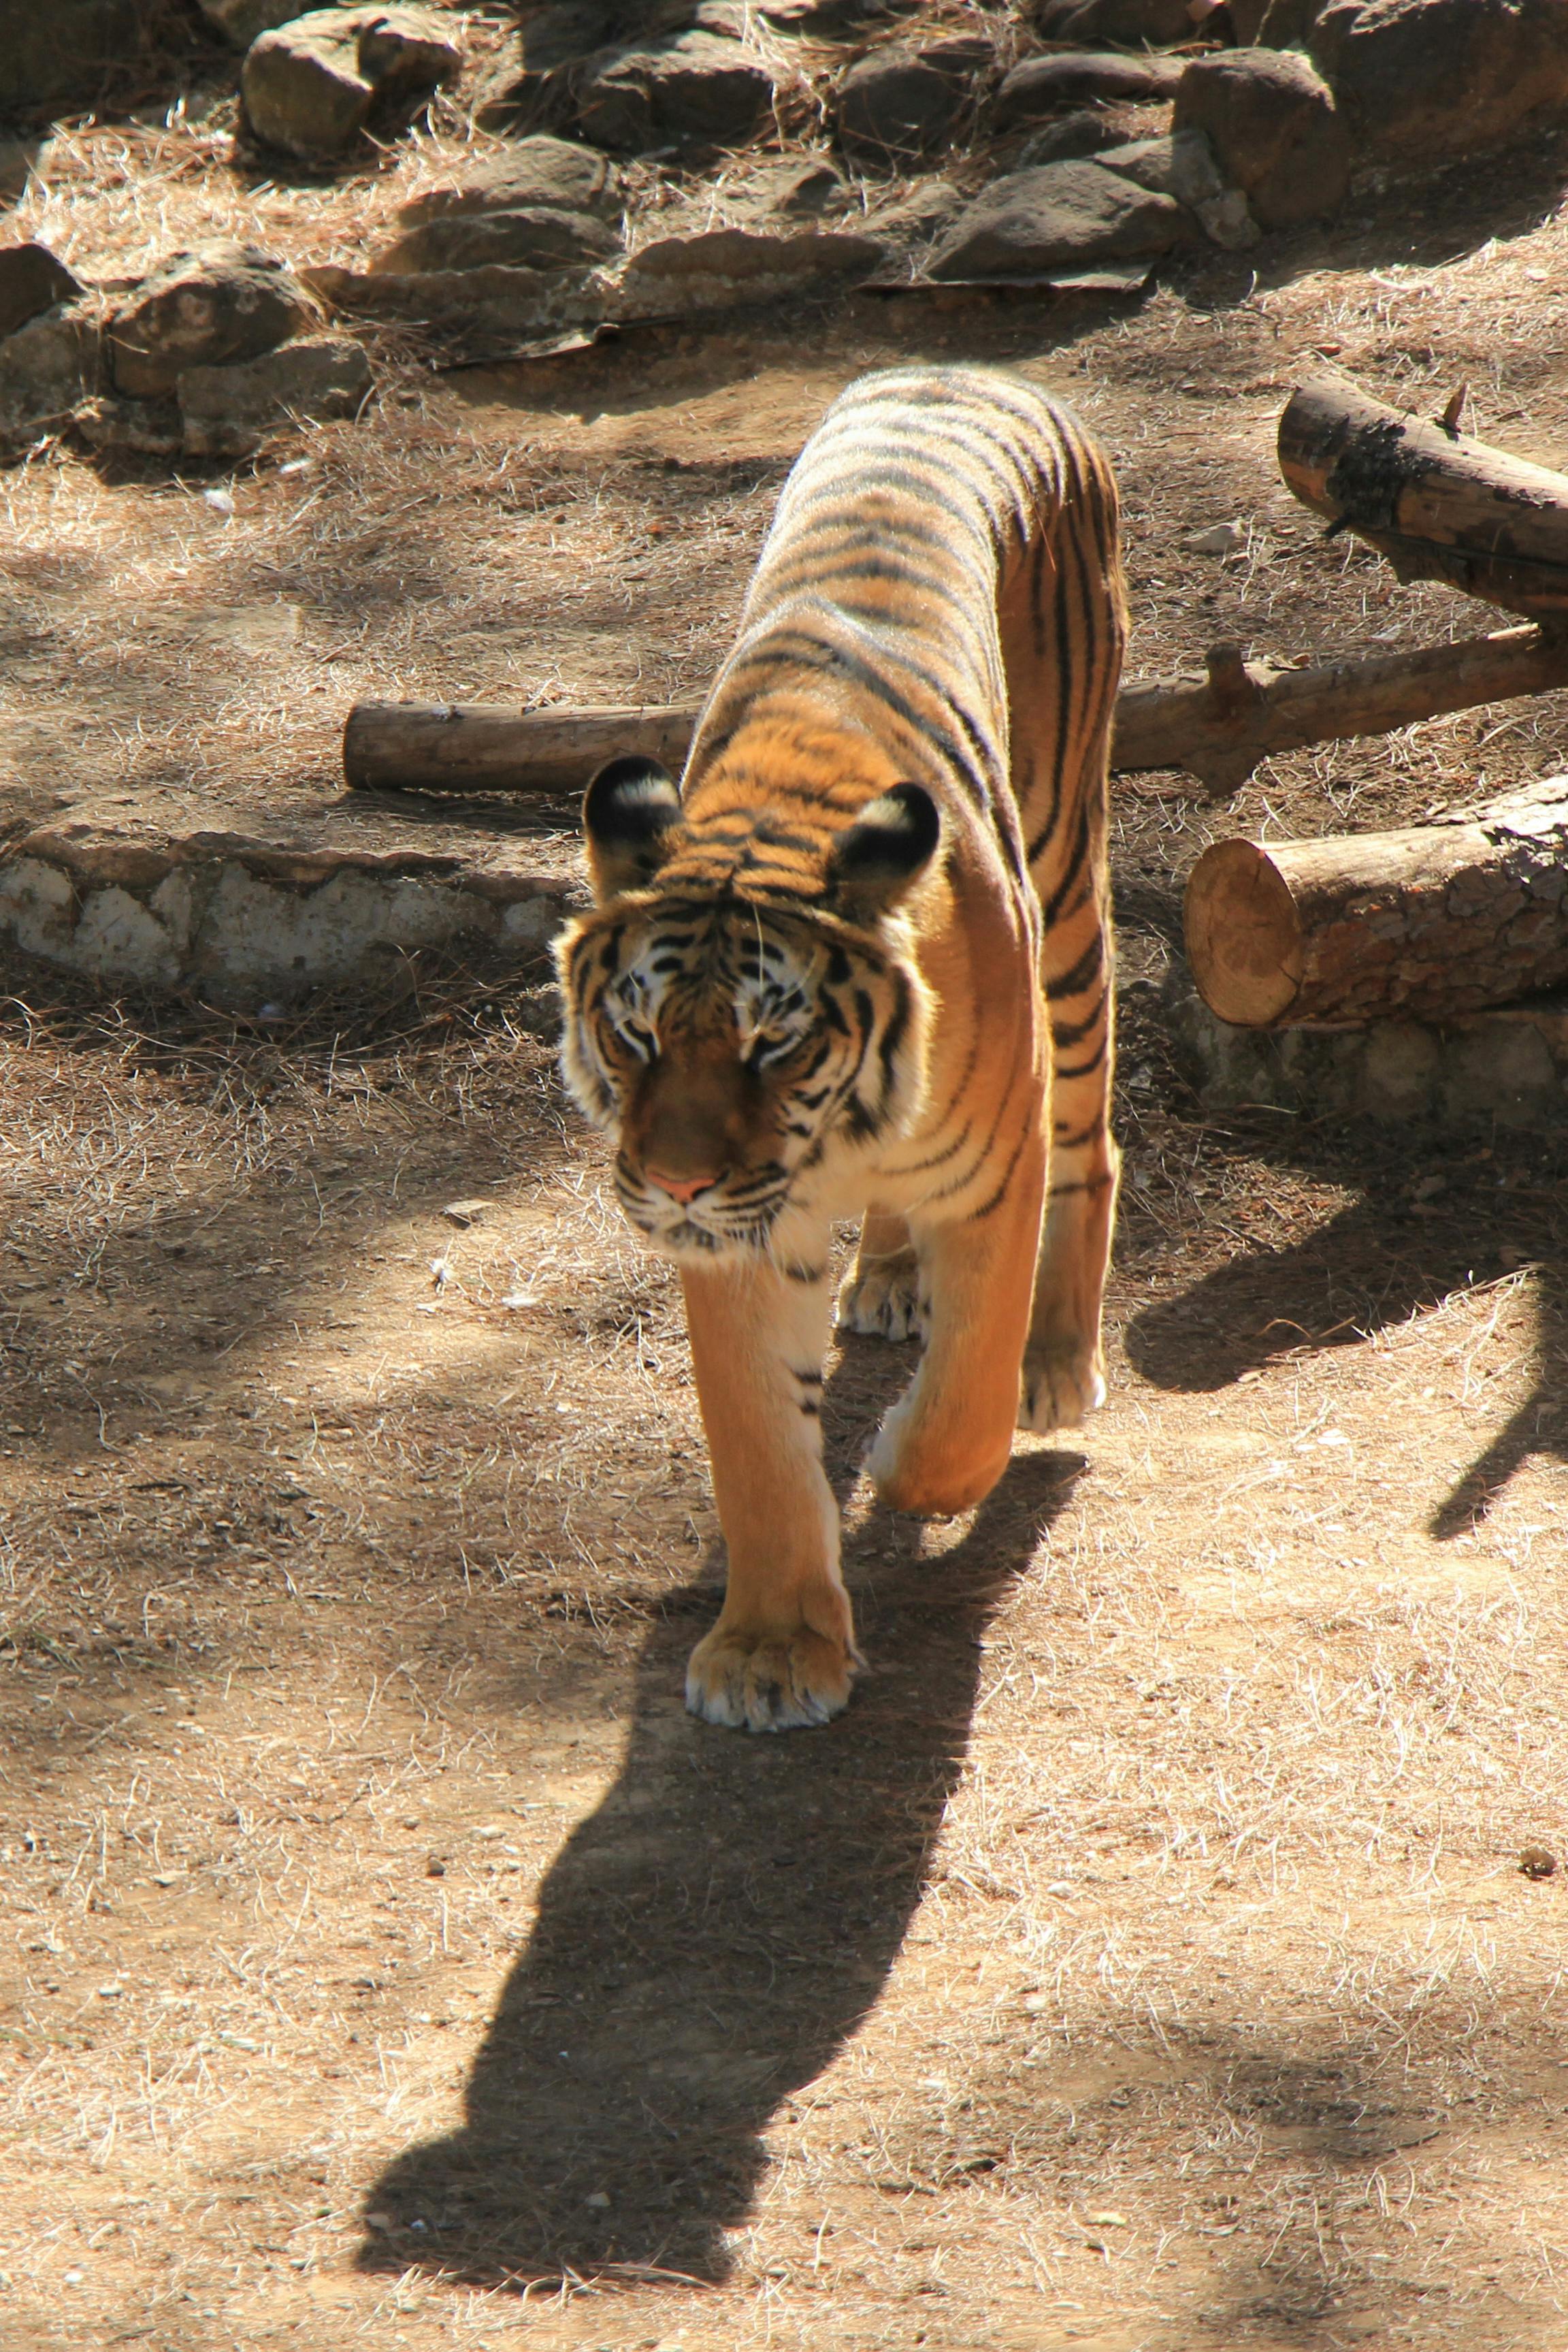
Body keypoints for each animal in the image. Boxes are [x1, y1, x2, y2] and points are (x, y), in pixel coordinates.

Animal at [555, 363, 1126, 1733]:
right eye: (635, 1033)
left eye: (771, 1043)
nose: (674, 1184)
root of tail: (972, 371)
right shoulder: (740, 1236)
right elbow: (758, 1448)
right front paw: (771, 1652)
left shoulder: (994, 1170)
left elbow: (964, 1396)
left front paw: (910, 1468)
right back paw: (888, 1281)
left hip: (1066, 883)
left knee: (1095, 1147)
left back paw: (1057, 1362)